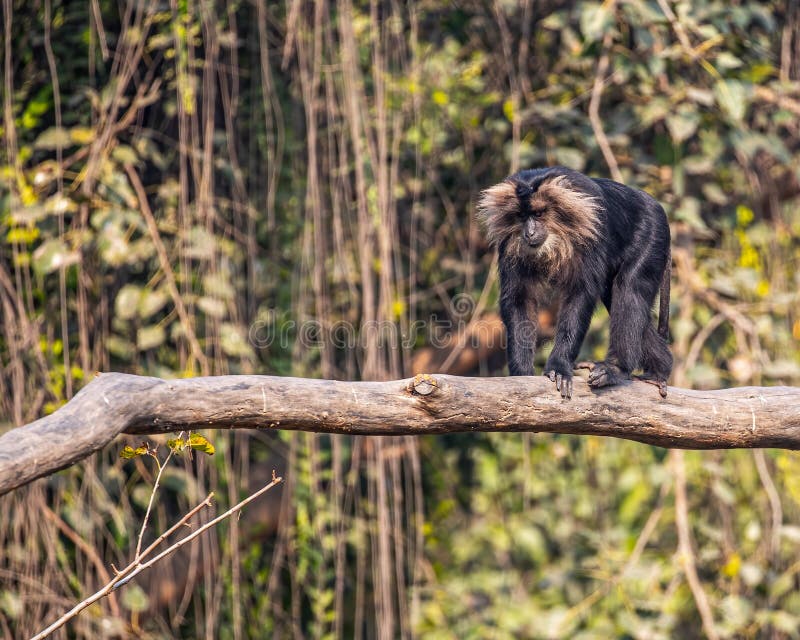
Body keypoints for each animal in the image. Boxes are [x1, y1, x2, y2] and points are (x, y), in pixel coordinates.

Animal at [477, 166, 672, 399]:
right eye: (522, 216)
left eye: (539, 213)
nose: (529, 233)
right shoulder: (509, 243)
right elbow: (519, 299)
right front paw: (521, 374)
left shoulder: (591, 228)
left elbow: (581, 294)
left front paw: (559, 368)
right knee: (616, 296)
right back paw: (659, 370)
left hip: (653, 233)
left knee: (630, 289)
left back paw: (616, 369)